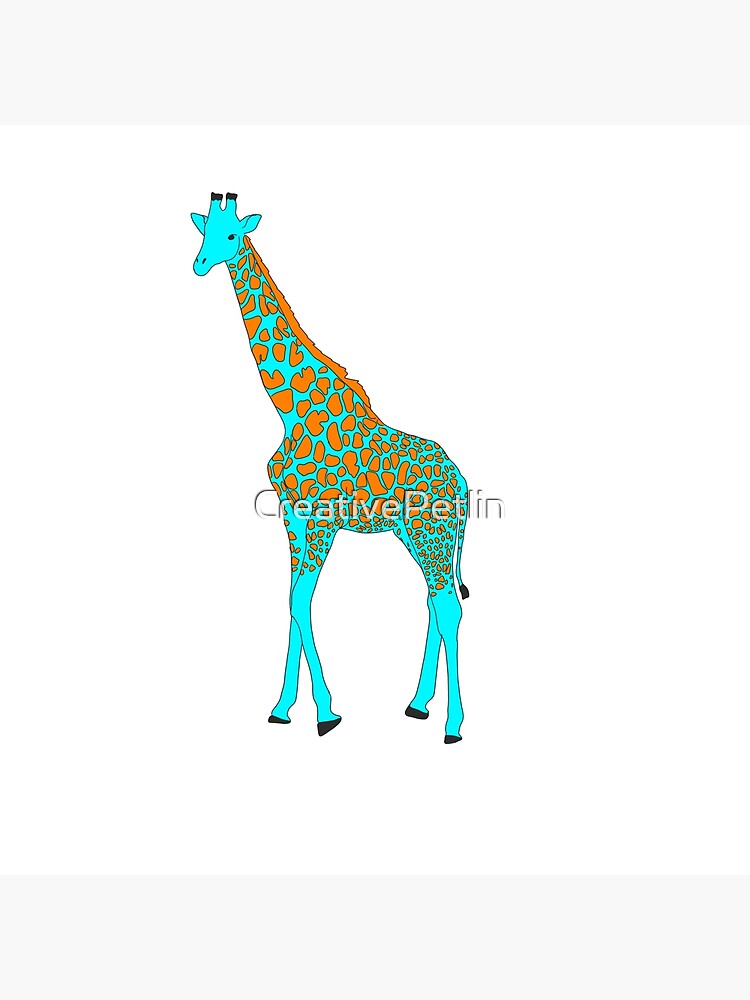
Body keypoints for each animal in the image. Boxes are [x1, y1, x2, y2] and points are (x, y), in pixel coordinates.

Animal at [191, 193, 471, 743]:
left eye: (232, 235)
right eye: (203, 232)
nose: (199, 265)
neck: (287, 408)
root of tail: (463, 481)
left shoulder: (320, 522)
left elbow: (301, 602)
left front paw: (324, 714)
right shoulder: (292, 518)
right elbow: (292, 603)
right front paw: (284, 708)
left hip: (430, 534)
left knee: (448, 608)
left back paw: (452, 723)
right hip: (420, 536)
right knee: (434, 602)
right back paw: (417, 705)